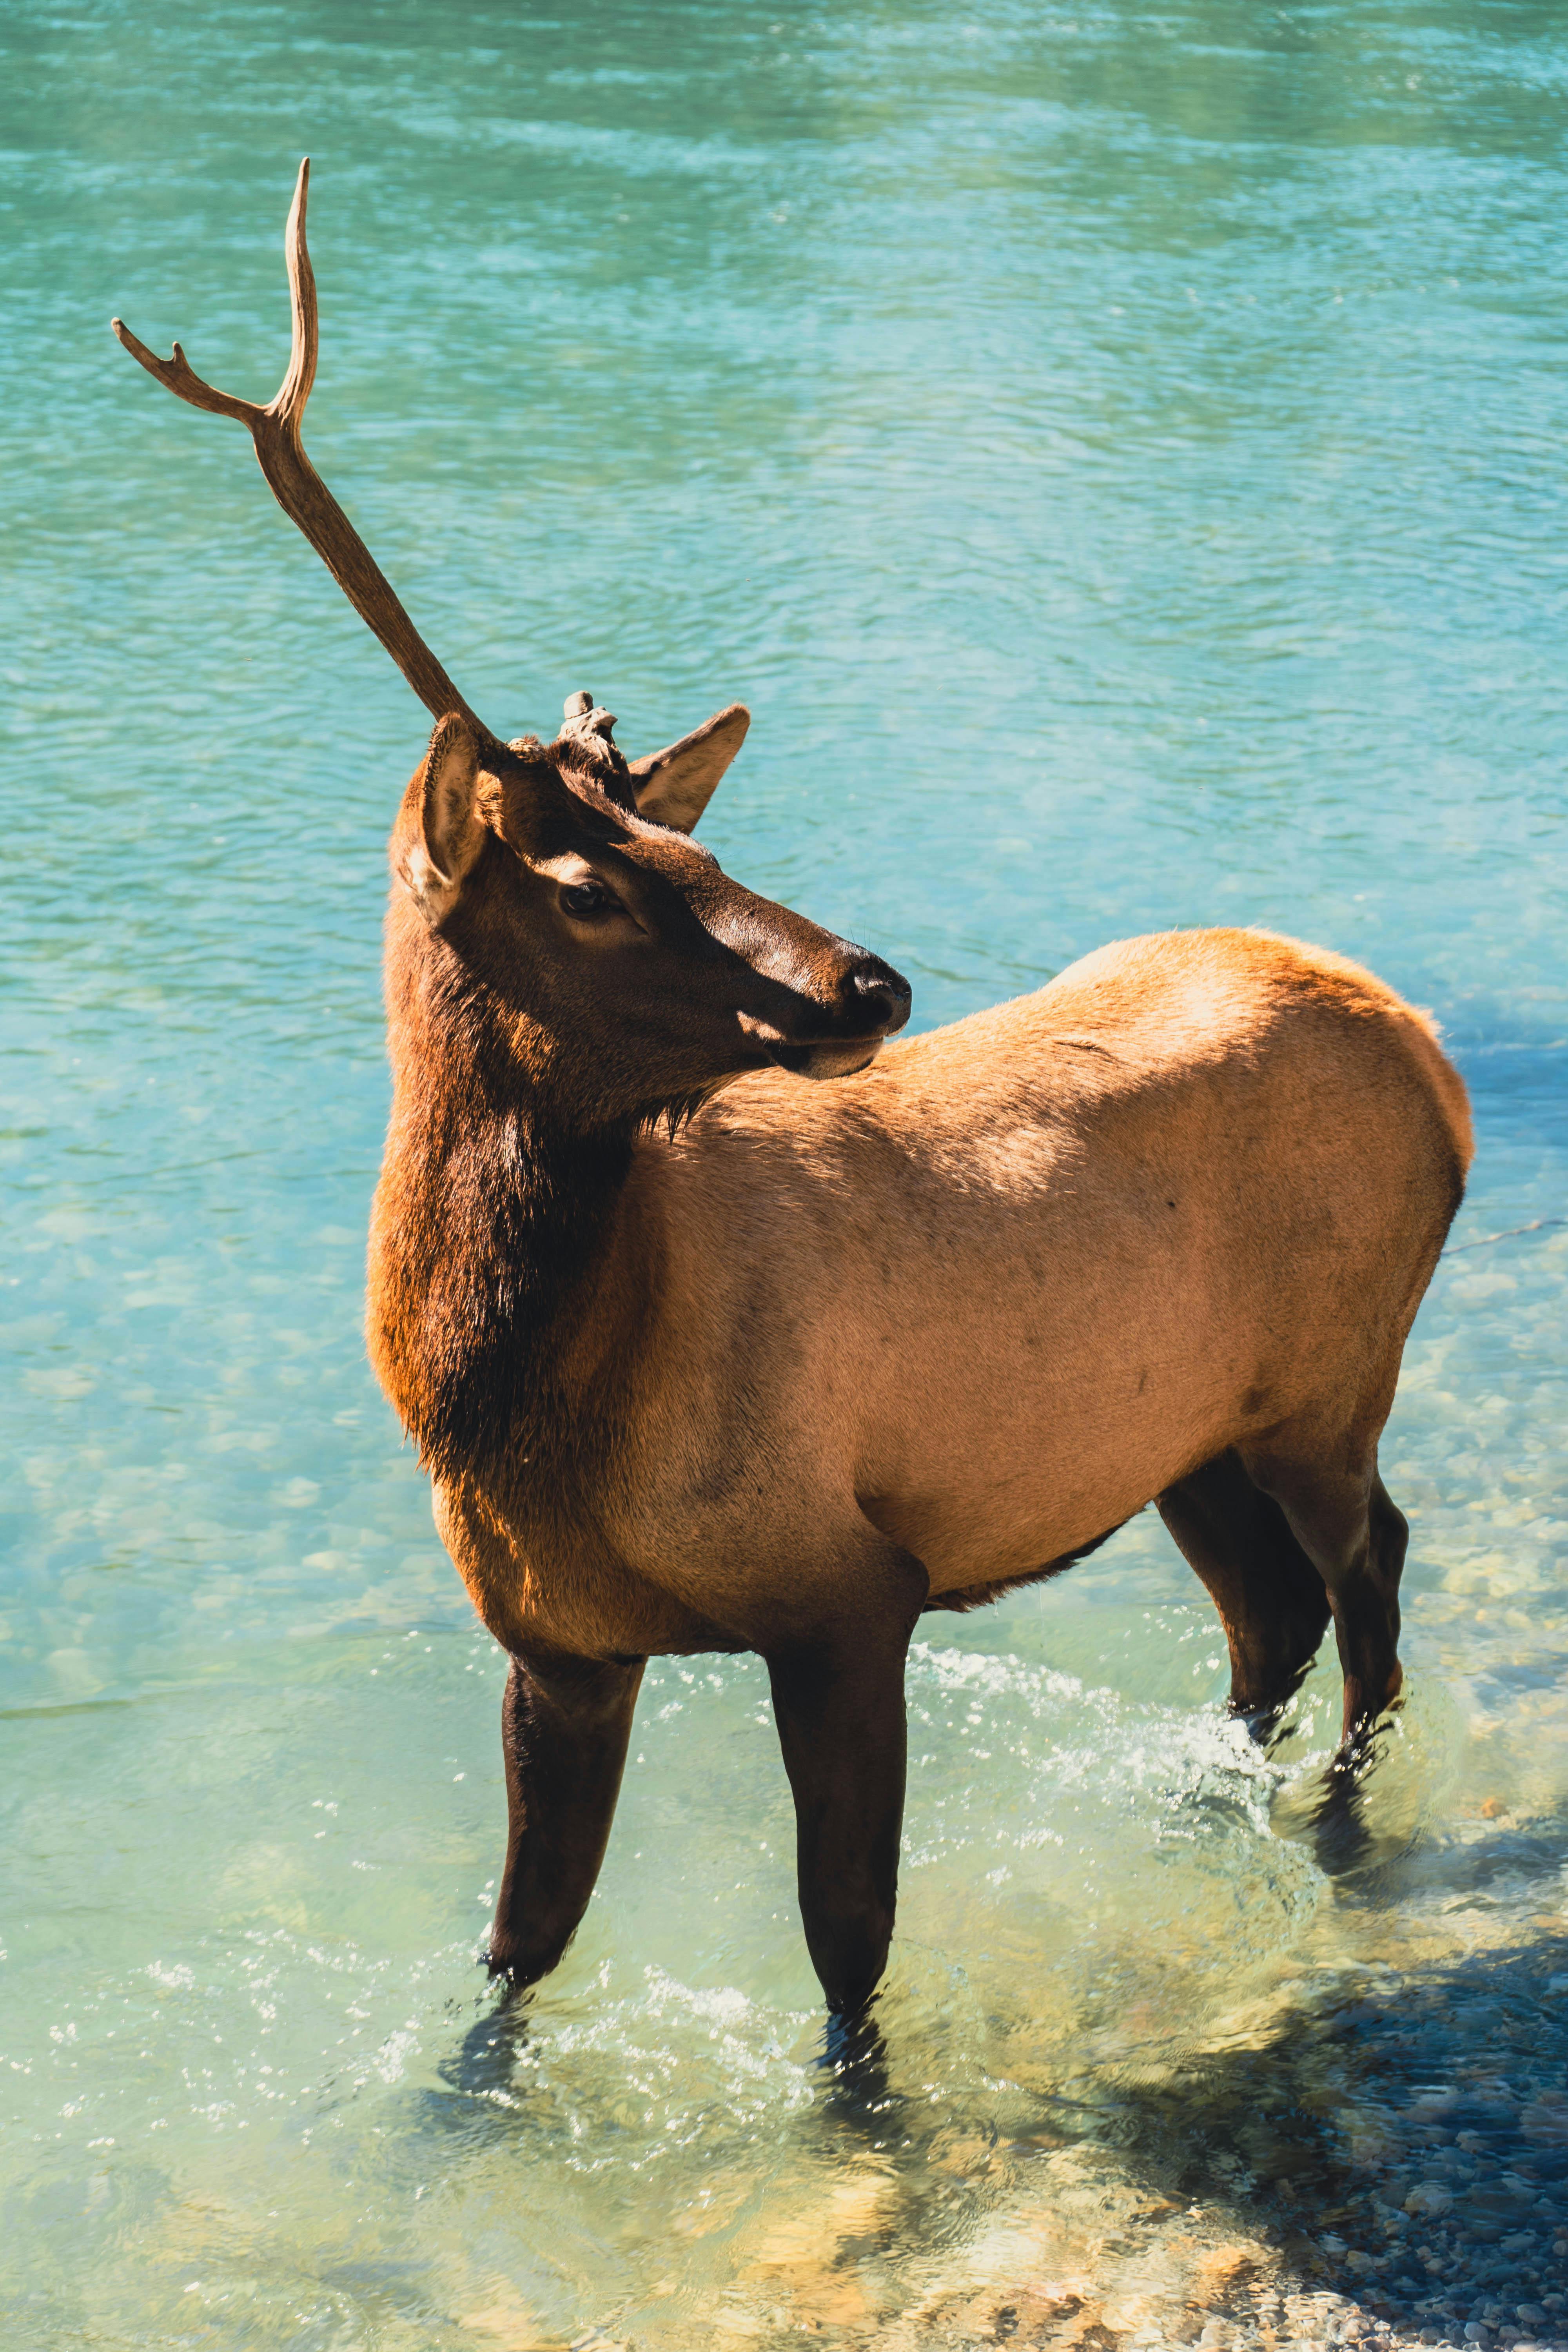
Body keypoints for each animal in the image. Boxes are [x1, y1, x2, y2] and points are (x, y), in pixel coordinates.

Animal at [114, 164, 1473, 2021]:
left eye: (700, 845)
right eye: (587, 885)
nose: (869, 983)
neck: (510, 1402)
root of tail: (1430, 1051)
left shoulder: (845, 1588)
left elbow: (845, 1954)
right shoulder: (556, 1637)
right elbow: (513, 1951)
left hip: (1335, 1373)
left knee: (1372, 1579)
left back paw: (1337, 1822)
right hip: (1182, 1424)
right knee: (1267, 1612)